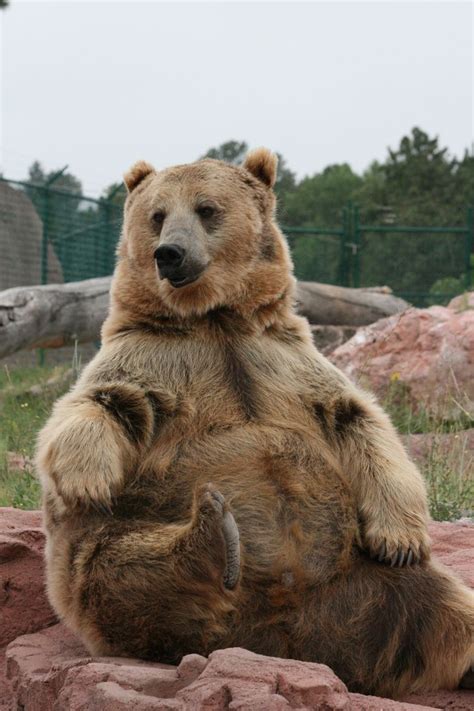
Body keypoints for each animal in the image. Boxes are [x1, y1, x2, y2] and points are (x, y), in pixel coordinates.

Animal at [36, 149, 474, 699]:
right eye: (157, 214)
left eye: (206, 209)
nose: (169, 254)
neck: (214, 318)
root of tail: (278, 636)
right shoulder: (153, 359)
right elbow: (102, 404)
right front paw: (87, 481)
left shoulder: (287, 361)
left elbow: (361, 422)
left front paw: (400, 538)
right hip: (111, 541)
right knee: (113, 569)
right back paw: (213, 534)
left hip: (369, 581)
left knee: (443, 606)